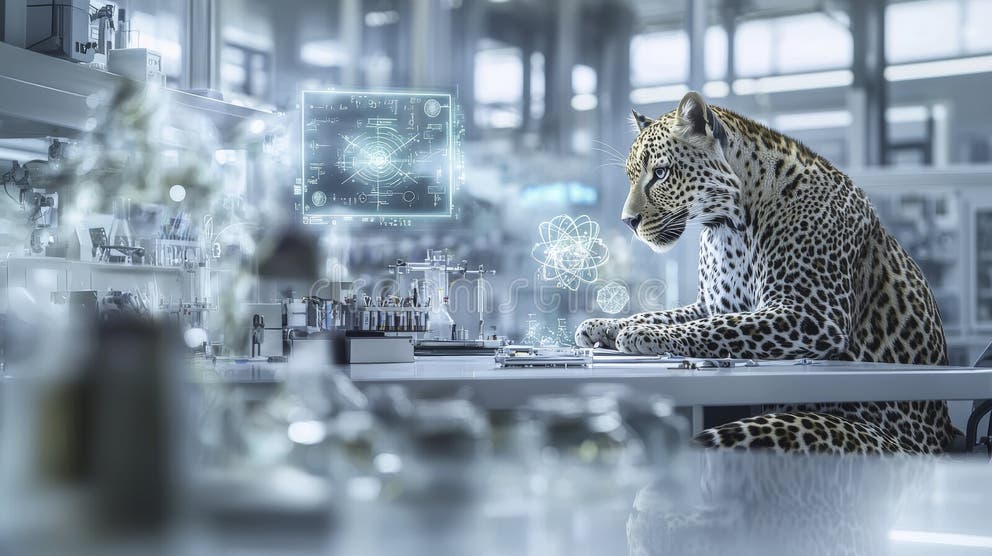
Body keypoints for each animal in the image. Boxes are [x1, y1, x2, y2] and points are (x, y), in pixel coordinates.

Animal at [575, 91, 956, 455]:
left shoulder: (811, 314)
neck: (728, 227)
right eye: (631, 177)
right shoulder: (711, 304)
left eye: (661, 173)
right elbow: (670, 314)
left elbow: (719, 327)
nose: (628, 221)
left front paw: (644, 334)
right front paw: (605, 325)